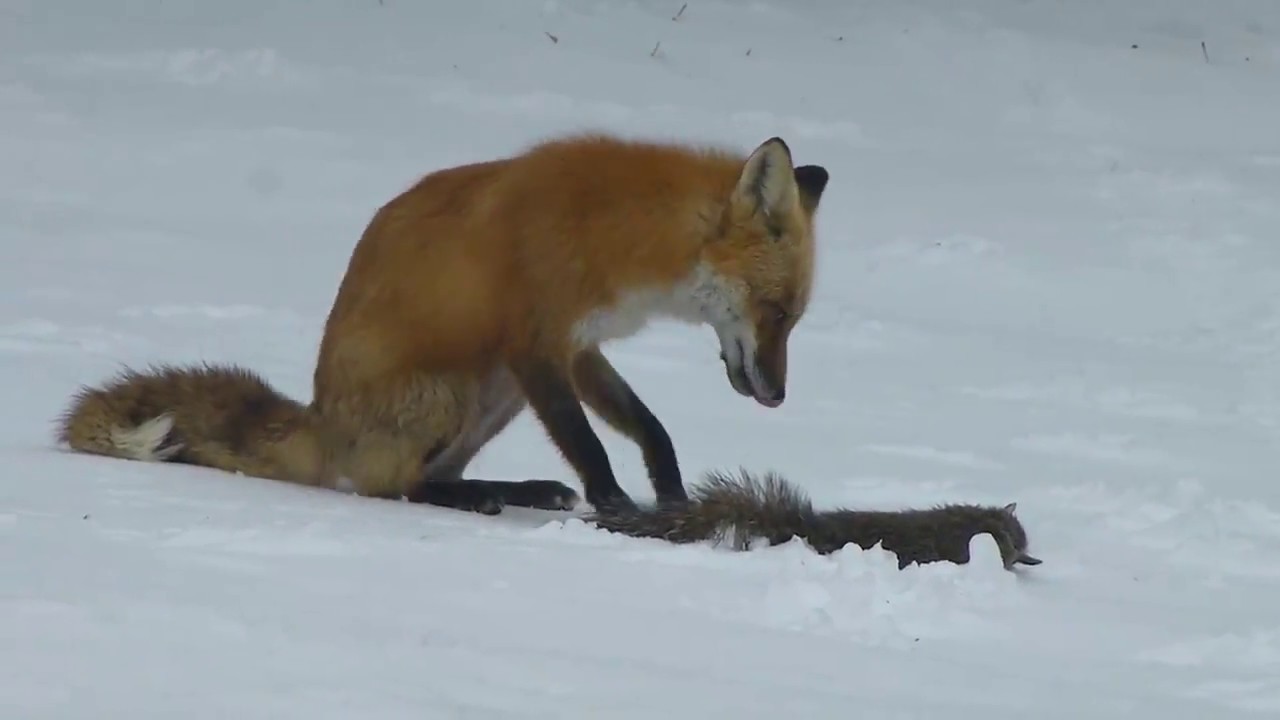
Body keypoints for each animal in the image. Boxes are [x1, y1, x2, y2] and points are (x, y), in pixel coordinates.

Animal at [56, 132, 831, 516]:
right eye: (777, 314)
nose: (778, 397)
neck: (625, 240)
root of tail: (320, 418)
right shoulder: (534, 342)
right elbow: (586, 443)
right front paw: (618, 507)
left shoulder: (578, 348)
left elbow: (650, 428)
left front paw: (670, 497)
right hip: (457, 387)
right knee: (395, 487)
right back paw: (479, 499)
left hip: (495, 394)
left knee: (432, 474)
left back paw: (508, 491)